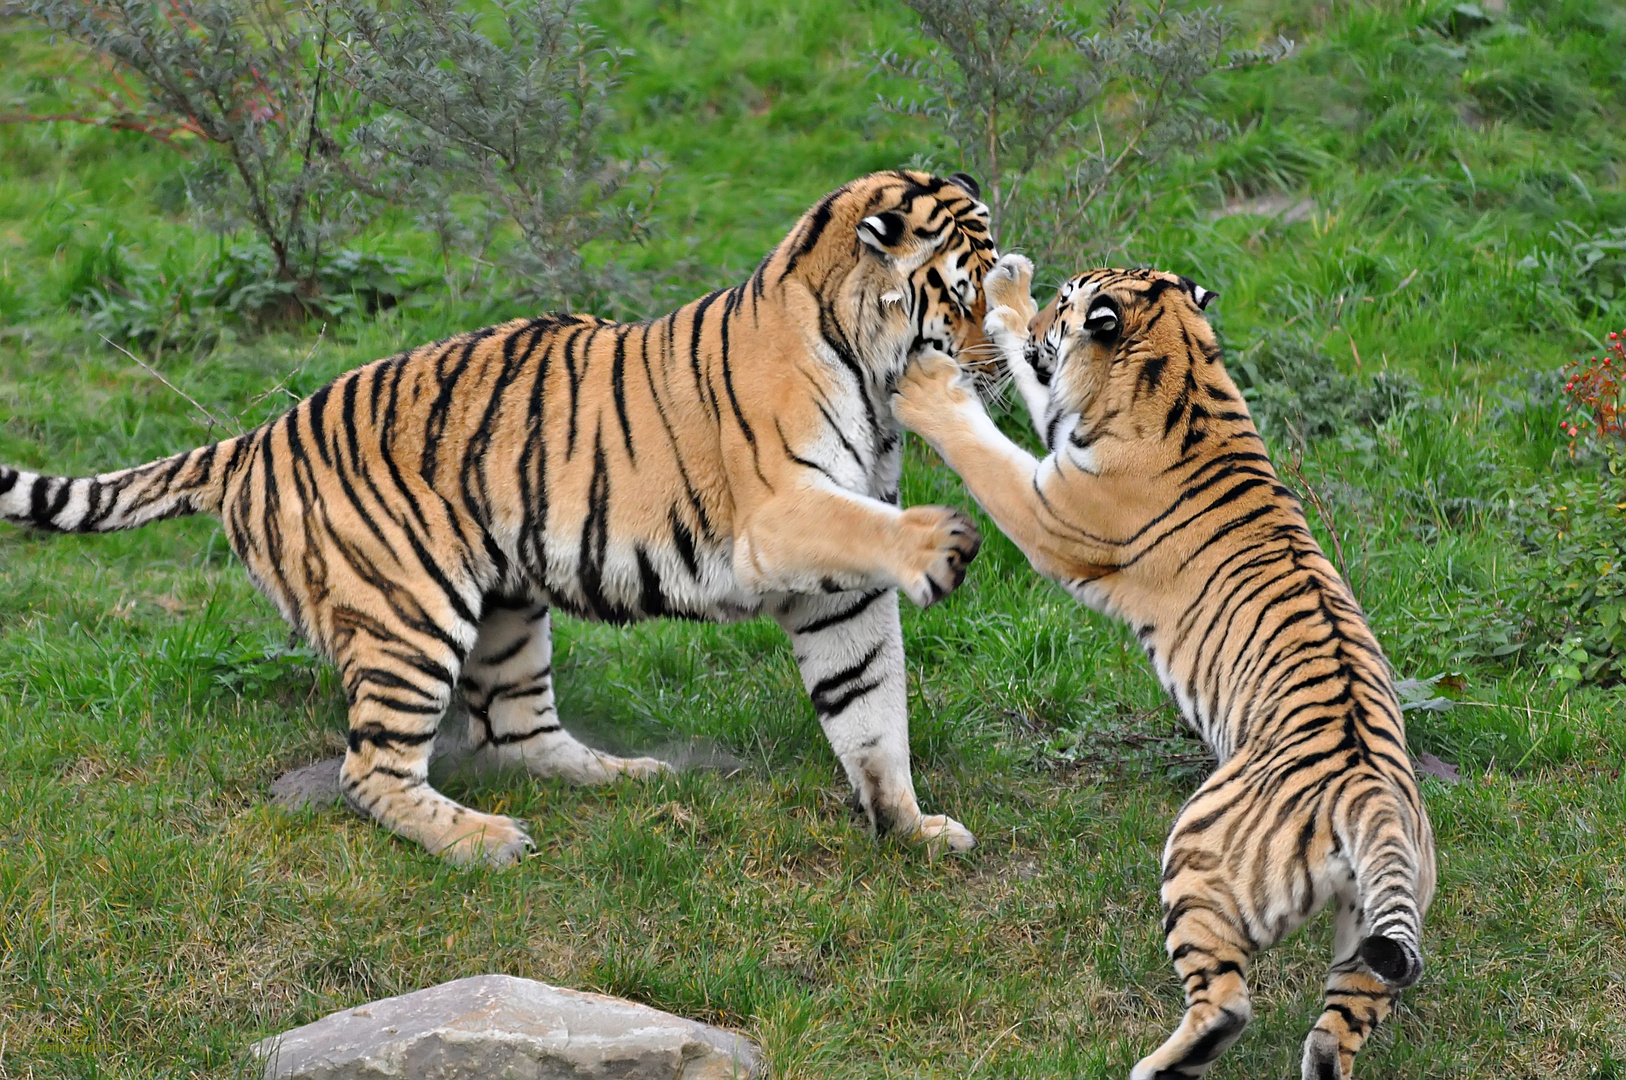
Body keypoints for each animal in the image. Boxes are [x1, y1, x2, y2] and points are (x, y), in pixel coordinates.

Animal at [0, 170, 998, 868]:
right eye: (964, 290)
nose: (1015, 350)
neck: (871, 377)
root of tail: (256, 438)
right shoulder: (779, 521)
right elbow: (867, 571)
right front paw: (943, 542)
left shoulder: (839, 595)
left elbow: (869, 712)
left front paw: (909, 827)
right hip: (406, 615)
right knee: (373, 769)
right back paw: (481, 843)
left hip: (508, 604)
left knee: (515, 729)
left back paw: (625, 777)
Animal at [891, 254, 1436, 1080]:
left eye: (1065, 300)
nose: (1044, 306)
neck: (1185, 370)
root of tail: (1367, 794)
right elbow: (1032, 382)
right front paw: (1009, 298)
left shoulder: (1046, 504)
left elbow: (985, 443)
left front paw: (932, 382)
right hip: (1369, 940)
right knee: (1336, 1031)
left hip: (1196, 858)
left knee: (1226, 1003)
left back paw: (1152, 1067)